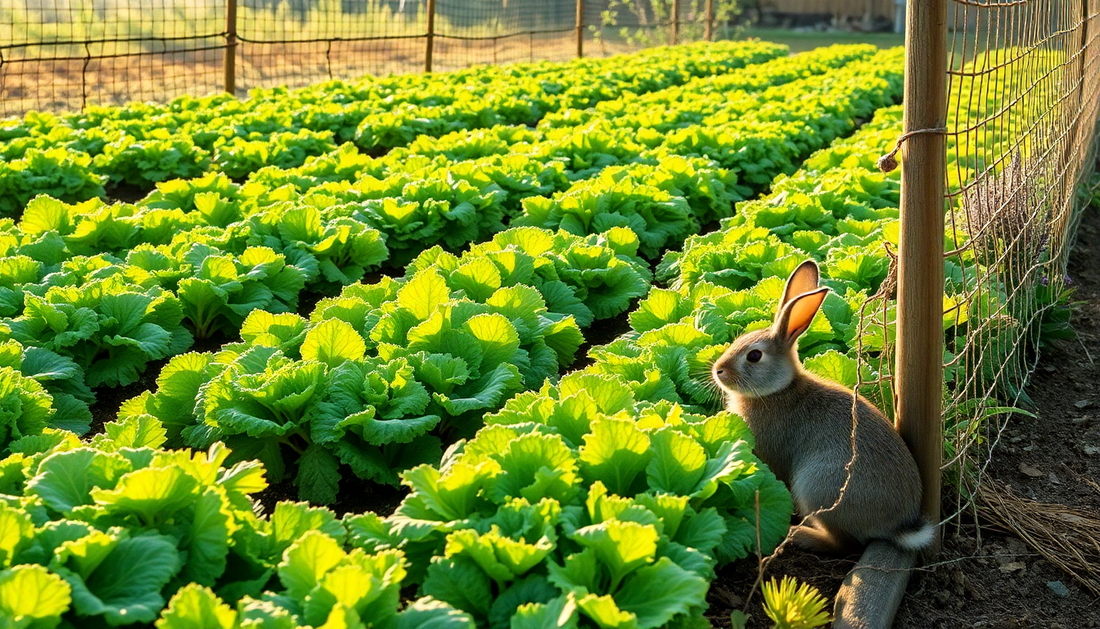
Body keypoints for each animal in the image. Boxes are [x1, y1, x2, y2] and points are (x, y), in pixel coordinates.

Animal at [711, 259, 934, 553]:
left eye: (754, 355)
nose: (718, 370)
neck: (778, 389)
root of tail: (900, 526)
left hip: (818, 489)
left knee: (843, 543)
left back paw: (797, 534)